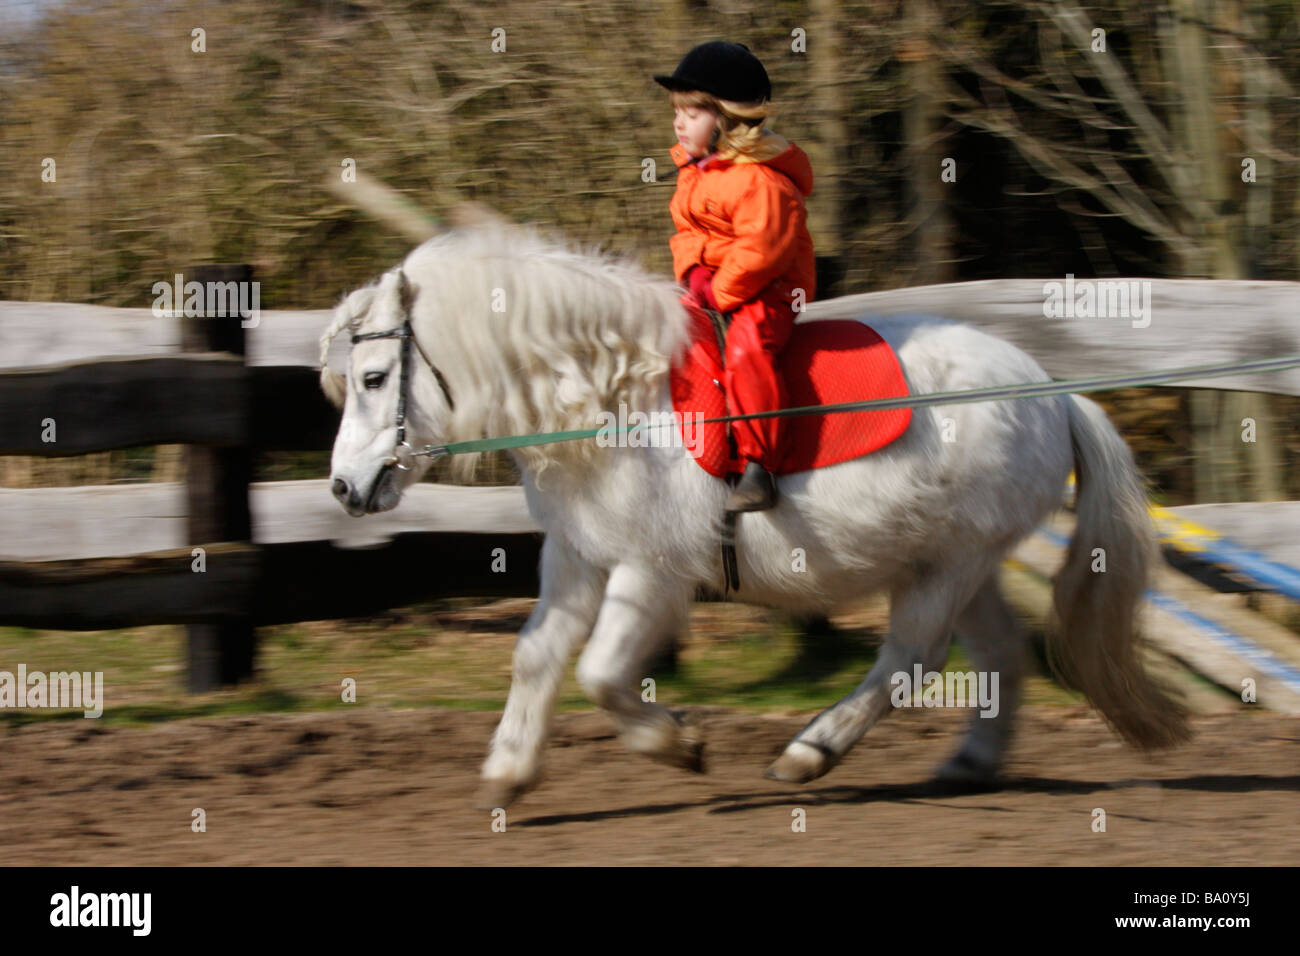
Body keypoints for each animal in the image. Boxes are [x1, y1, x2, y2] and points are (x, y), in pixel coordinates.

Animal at [319, 222, 1189, 808]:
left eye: (372, 377)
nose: (344, 489)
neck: (610, 396)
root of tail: (1057, 395)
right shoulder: (576, 554)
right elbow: (535, 658)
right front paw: (507, 773)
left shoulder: (650, 570)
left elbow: (600, 674)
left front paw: (676, 744)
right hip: (959, 562)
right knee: (1000, 655)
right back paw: (968, 766)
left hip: (949, 566)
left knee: (909, 657)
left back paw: (810, 753)